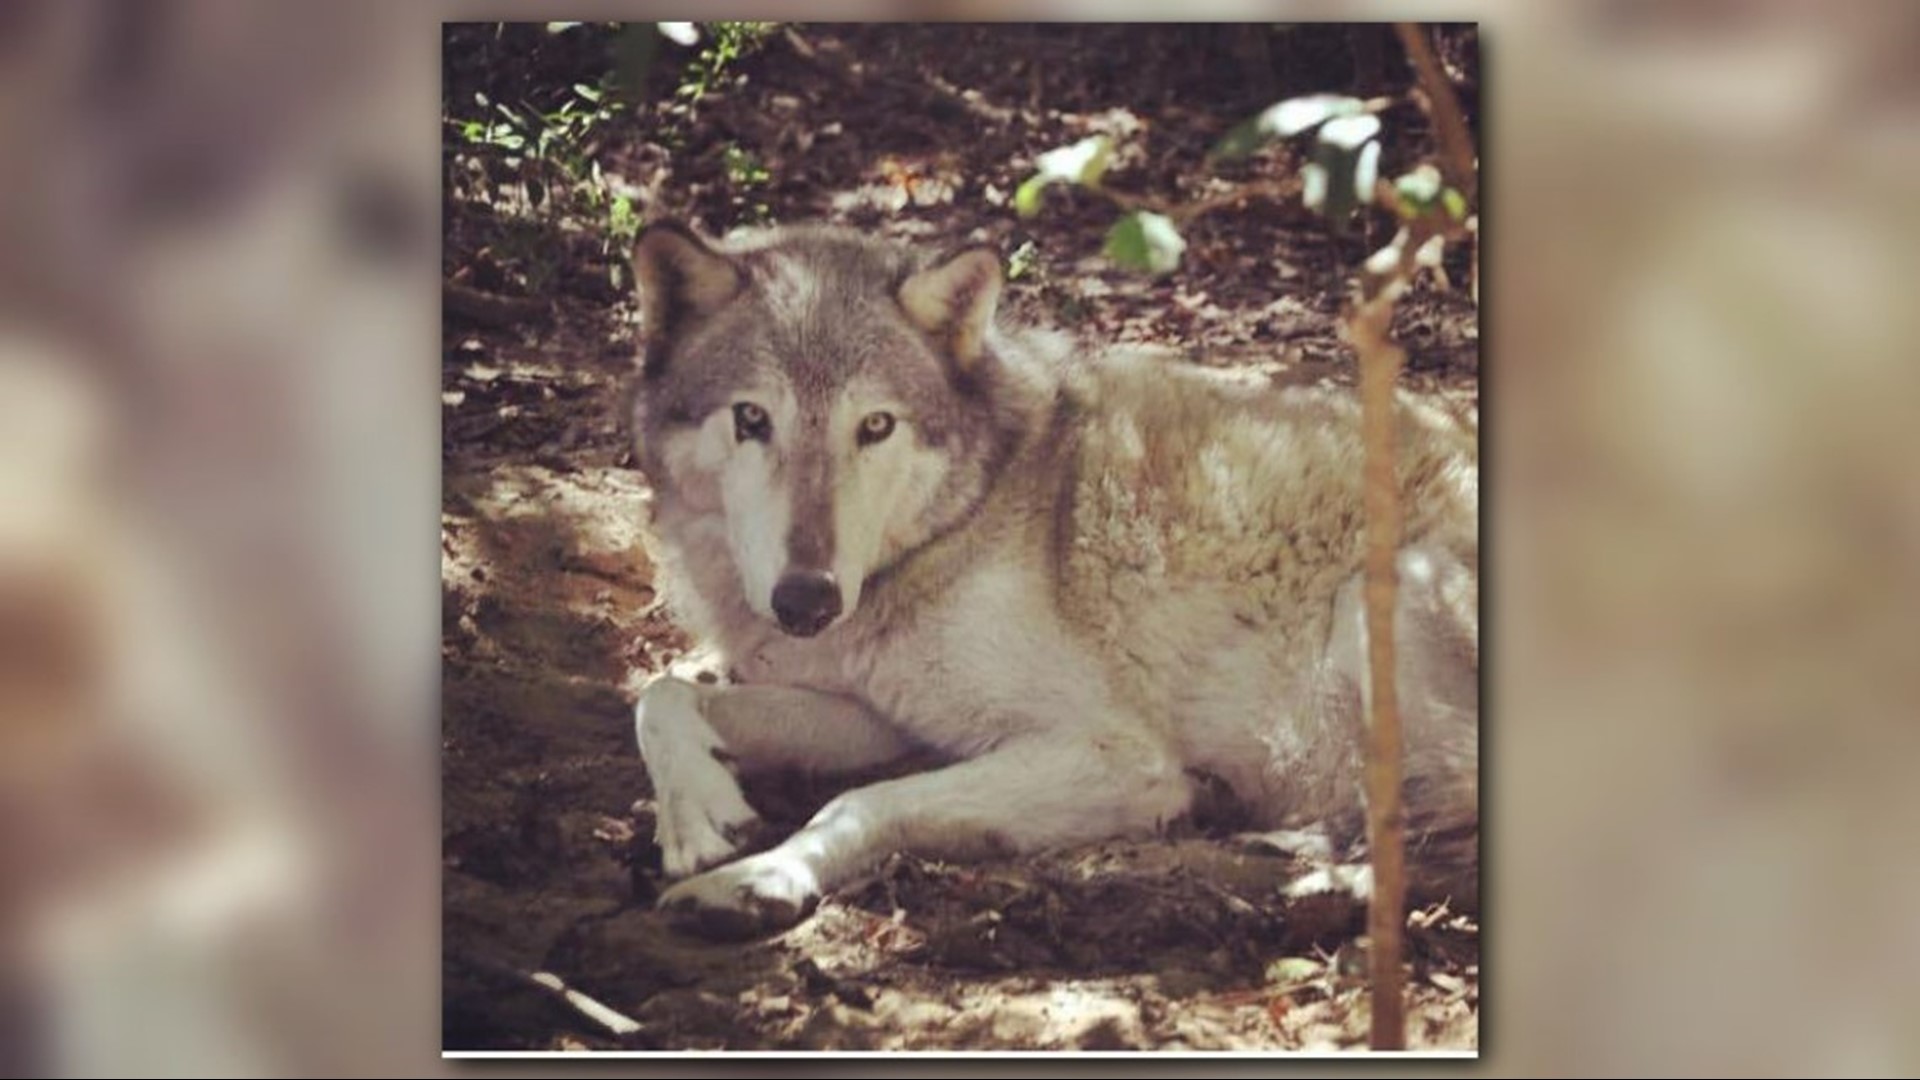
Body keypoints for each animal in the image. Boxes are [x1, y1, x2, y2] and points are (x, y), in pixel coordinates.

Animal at [624, 219, 1478, 939]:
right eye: (751, 419)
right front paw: (699, 816)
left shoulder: (1114, 753)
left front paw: (758, 877)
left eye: (875, 425)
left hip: (1384, 597)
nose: (806, 600)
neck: (965, 515)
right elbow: (661, 694)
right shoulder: (880, 717)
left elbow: (858, 801)